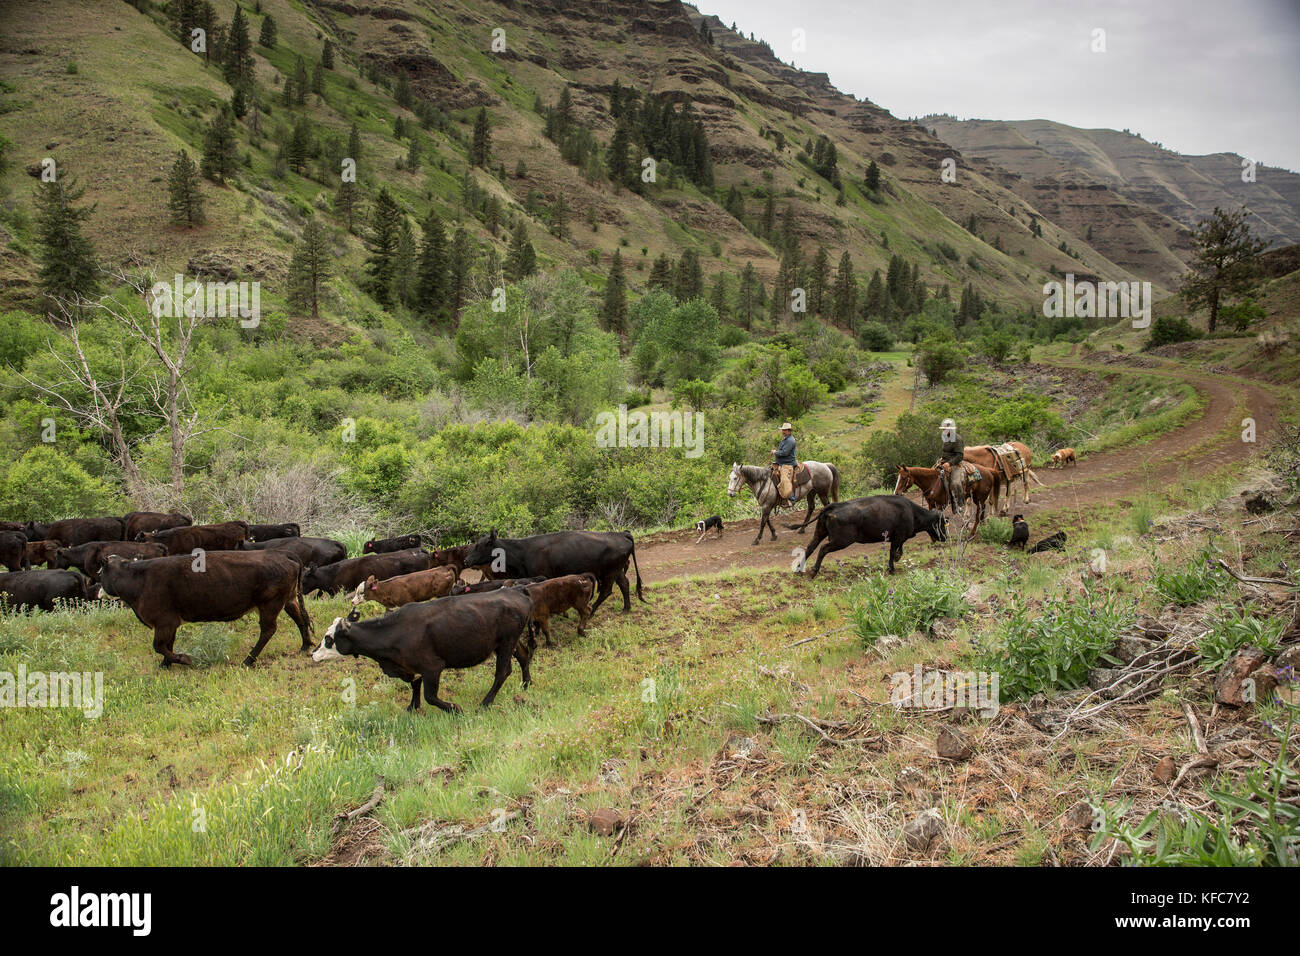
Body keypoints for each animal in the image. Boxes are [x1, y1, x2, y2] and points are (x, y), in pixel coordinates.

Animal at [99, 550, 312, 668]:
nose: (99, 591)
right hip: (288, 599)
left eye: (100, 571)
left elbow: (159, 646)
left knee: (268, 630)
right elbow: (168, 644)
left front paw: (182, 659)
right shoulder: (170, 623)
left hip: (270, 603)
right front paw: (166, 664)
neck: (139, 579)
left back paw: (248, 660)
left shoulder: (164, 621)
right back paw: (305, 645)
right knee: (300, 618)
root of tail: (280, 553)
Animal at [311, 588, 533, 713]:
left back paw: (485, 703)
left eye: (328, 639)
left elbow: (430, 696)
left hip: (506, 643)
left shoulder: (432, 667)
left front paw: (455, 709)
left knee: (503, 671)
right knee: (524, 656)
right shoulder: (411, 666)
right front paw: (412, 707)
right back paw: (526, 685)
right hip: (508, 643)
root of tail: (516, 592)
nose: (313, 654)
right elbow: (415, 686)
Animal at [462, 530, 646, 614]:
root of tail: (620, 533)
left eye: (481, 545)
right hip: (616, 571)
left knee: (606, 591)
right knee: (624, 584)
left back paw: (592, 611)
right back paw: (626, 608)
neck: (522, 552)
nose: (466, 560)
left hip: (609, 572)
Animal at [798, 495, 948, 578]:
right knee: (823, 549)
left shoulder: (898, 537)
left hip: (820, 532)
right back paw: (814, 571)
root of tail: (833, 506)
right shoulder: (898, 536)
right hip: (841, 540)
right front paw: (892, 568)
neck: (912, 512)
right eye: (942, 524)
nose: (945, 537)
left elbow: (899, 549)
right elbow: (892, 551)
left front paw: (897, 558)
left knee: (810, 547)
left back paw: (799, 568)